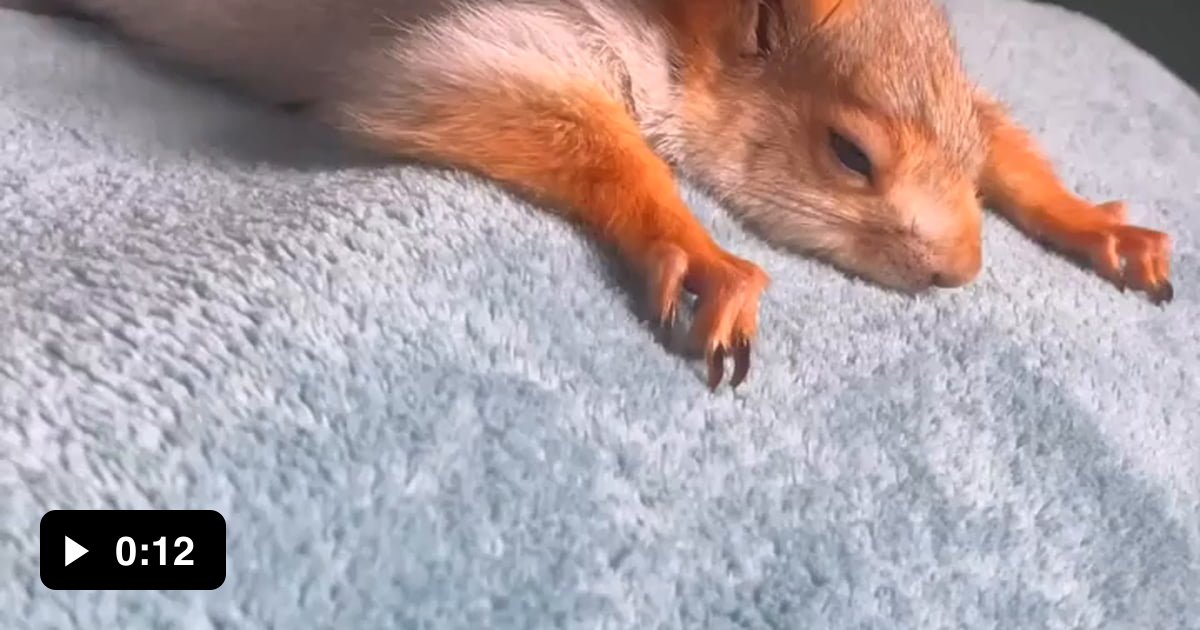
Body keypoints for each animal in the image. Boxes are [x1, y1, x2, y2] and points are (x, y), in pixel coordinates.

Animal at [4, 0, 1174, 389]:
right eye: (849, 155)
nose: (960, 270)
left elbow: (1009, 143)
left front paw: (1100, 228)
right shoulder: (518, 37)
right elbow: (506, 100)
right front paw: (702, 256)